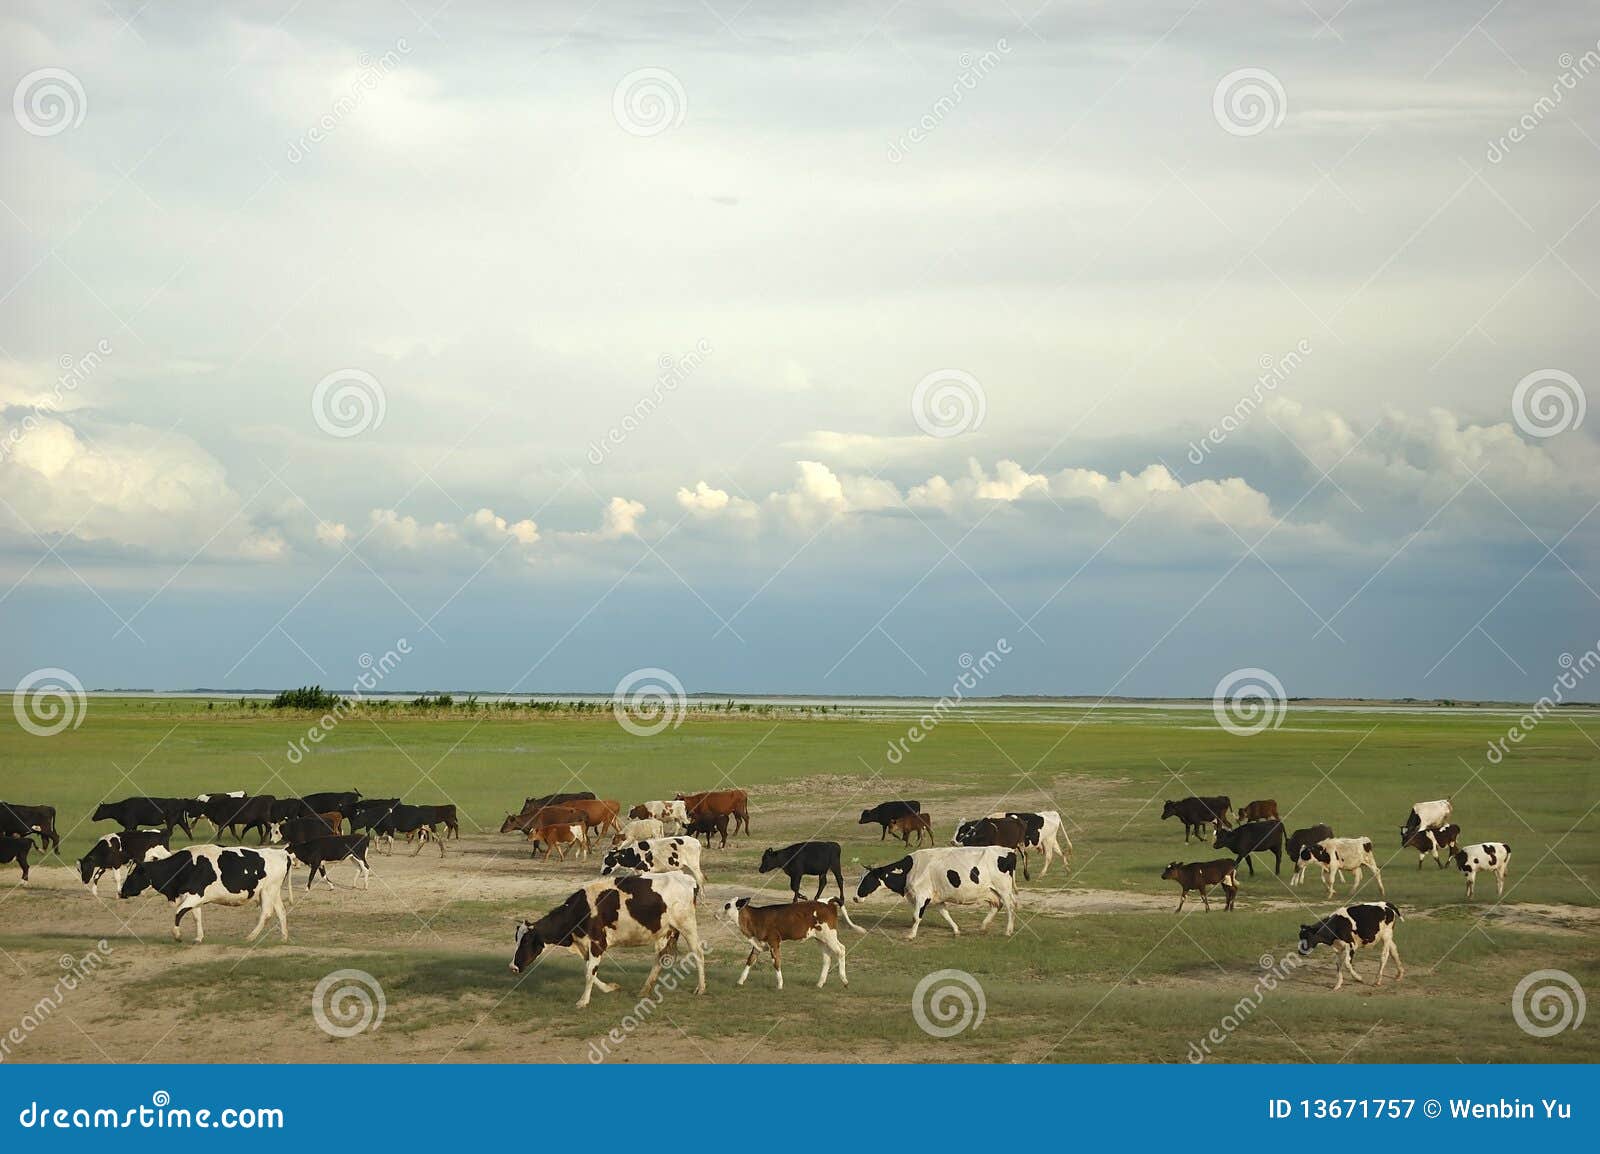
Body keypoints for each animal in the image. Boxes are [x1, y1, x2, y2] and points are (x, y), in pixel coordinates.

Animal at [119, 844, 293, 943]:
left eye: (133, 875)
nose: (121, 891)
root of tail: (282, 854)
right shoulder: (192, 898)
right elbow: (196, 916)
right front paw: (198, 937)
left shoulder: (194, 895)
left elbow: (178, 912)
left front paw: (177, 935)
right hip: (274, 892)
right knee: (281, 911)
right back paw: (284, 938)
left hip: (268, 891)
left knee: (266, 913)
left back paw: (250, 937)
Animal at [509, 872, 707, 1008]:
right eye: (516, 940)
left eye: (526, 942)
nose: (513, 967)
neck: (581, 910)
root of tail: (687, 878)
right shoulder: (586, 946)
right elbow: (589, 971)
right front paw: (610, 988)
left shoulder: (597, 943)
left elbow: (589, 973)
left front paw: (583, 1001)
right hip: (665, 932)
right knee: (660, 959)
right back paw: (645, 990)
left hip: (687, 926)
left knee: (698, 953)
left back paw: (700, 988)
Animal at [718, 897, 861, 989]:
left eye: (727, 905)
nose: (716, 913)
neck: (757, 918)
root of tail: (827, 902)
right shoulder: (758, 944)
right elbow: (750, 961)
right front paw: (740, 982)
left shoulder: (774, 942)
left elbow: (776, 963)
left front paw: (780, 985)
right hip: (821, 939)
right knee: (827, 958)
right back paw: (820, 983)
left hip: (829, 935)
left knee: (840, 950)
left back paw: (844, 981)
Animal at [855, 846, 1019, 939]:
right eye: (860, 877)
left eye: (867, 879)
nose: (855, 898)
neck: (910, 869)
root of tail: (1009, 851)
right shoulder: (937, 899)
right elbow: (945, 914)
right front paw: (956, 930)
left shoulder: (922, 896)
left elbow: (916, 917)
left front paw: (911, 935)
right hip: (991, 891)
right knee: (996, 905)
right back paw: (983, 926)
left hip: (1004, 889)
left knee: (1010, 907)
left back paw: (1008, 931)